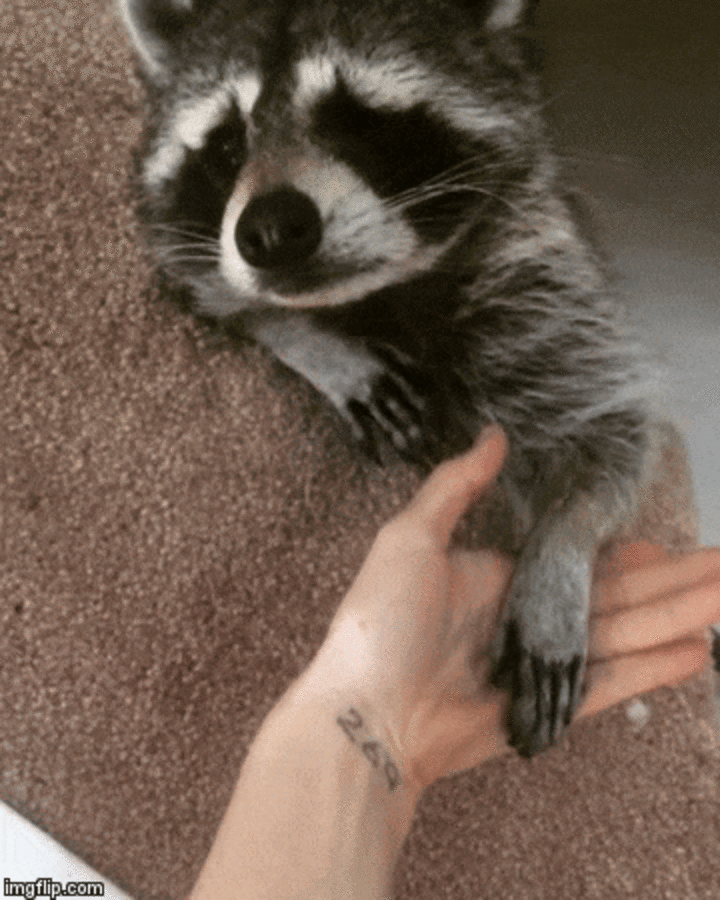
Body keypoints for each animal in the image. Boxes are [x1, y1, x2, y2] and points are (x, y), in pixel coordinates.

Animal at [118, 0, 655, 757]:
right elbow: (207, 284)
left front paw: (559, 558)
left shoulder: (543, 284)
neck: (380, 293)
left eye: (355, 119)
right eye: (226, 147)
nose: (269, 231)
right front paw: (304, 338)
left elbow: (612, 445)